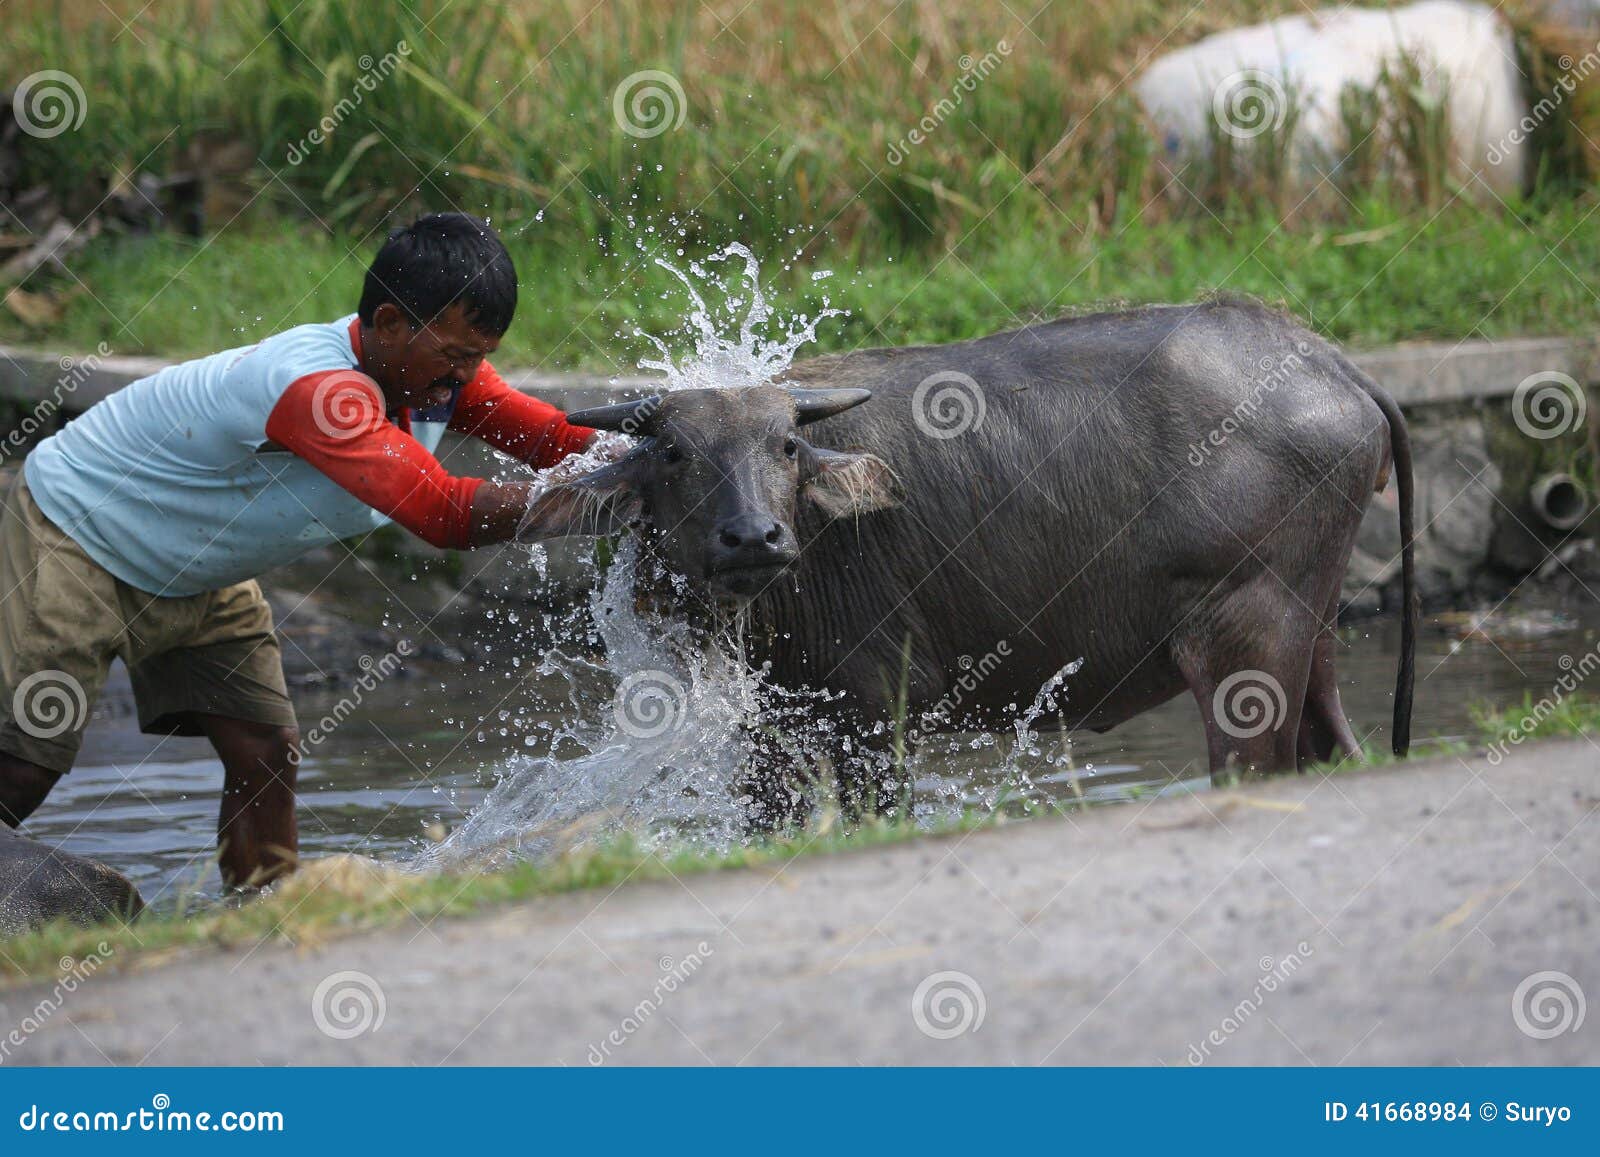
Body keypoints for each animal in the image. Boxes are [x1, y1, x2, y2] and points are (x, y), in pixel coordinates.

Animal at [531, 299, 1420, 819]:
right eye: (673, 453)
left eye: (785, 444)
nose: (754, 536)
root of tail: (1332, 365)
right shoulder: (772, 730)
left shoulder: (876, 707)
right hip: (1314, 629)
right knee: (1334, 745)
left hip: (1248, 640)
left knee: (1256, 763)